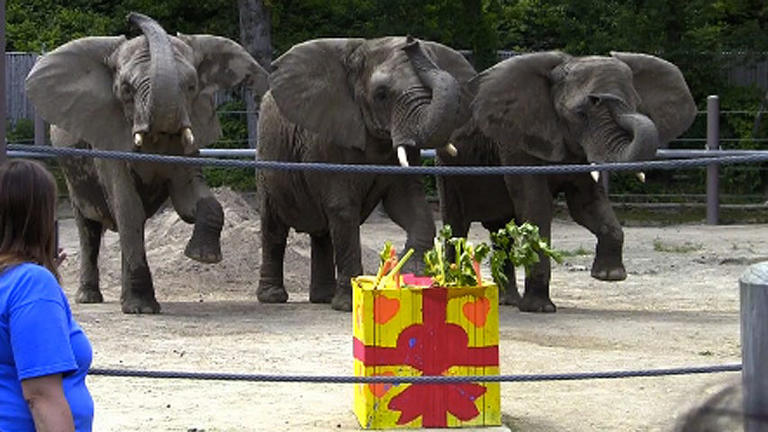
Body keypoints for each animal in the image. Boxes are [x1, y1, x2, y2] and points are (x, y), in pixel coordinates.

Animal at [24, 13, 269, 313]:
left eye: (191, 87)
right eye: (126, 90)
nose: (131, 18)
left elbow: (192, 200)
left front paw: (203, 256)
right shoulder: (109, 142)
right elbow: (129, 210)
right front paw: (141, 308)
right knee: (89, 227)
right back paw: (89, 297)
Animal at [256, 36, 476, 311]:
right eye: (381, 95)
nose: (411, 42)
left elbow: (407, 202)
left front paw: (411, 275)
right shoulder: (327, 143)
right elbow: (343, 209)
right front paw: (350, 305)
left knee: (323, 233)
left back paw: (322, 298)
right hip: (268, 159)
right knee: (274, 227)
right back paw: (273, 297)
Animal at [437, 51, 696, 312]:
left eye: (636, 104)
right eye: (580, 113)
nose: (601, 97)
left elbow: (586, 205)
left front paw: (609, 276)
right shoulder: (517, 143)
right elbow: (536, 205)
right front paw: (540, 309)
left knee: (501, 232)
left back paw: (508, 301)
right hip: (448, 169)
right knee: (457, 227)